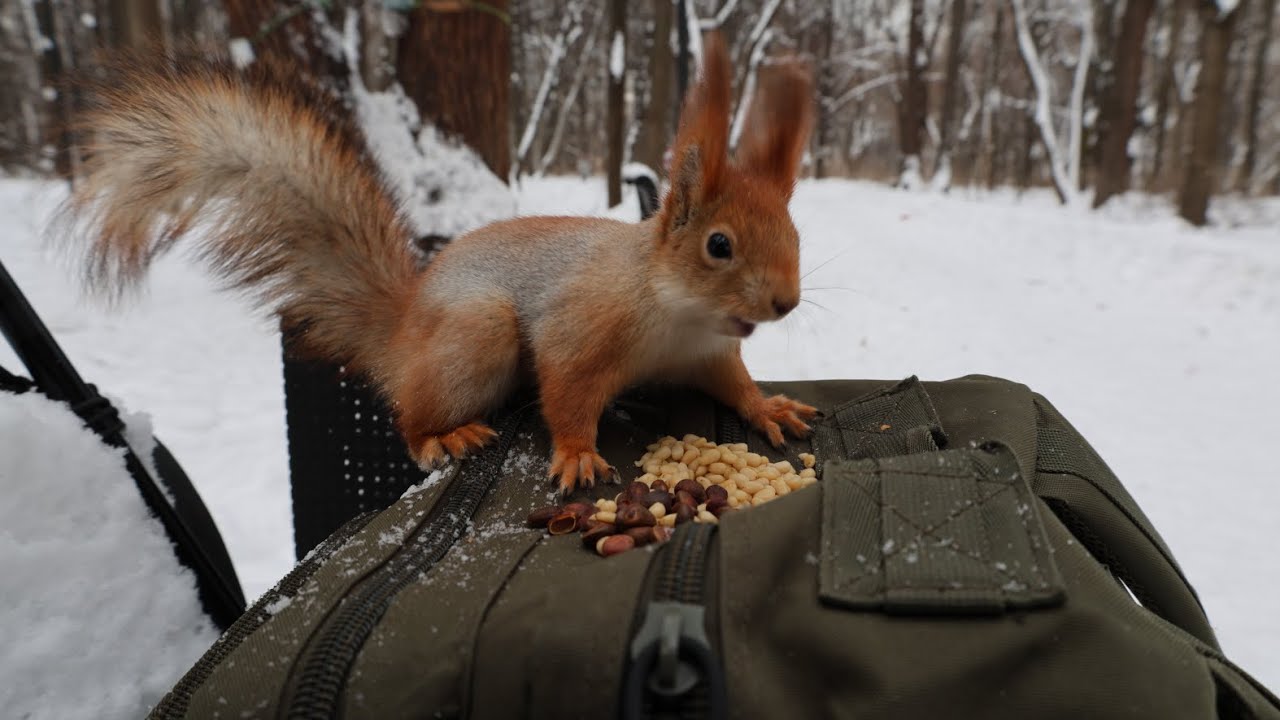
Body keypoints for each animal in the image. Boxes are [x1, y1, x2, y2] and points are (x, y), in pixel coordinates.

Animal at [61, 34, 818, 494]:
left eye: (795, 233)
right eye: (719, 245)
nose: (786, 303)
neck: (672, 309)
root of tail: (402, 333)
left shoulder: (707, 353)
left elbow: (733, 383)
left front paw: (769, 407)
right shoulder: (580, 330)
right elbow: (567, 392)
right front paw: (577, 454)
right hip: (476, 334)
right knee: (409, 417)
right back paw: (442, 438)